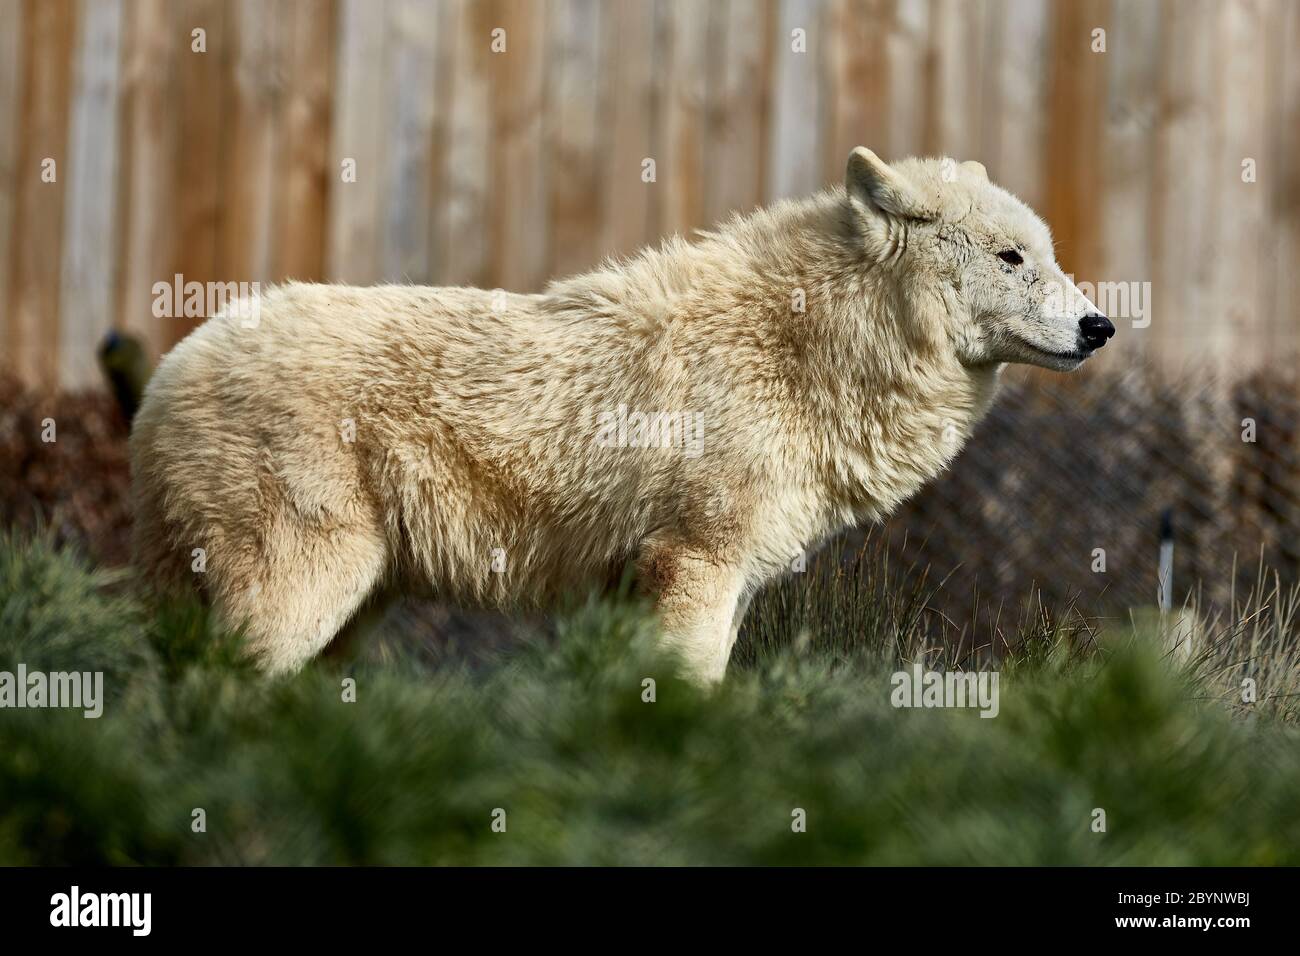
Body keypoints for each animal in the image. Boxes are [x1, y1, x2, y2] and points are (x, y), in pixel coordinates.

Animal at [130, 148, 1114, 682]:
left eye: (1048, 253)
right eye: (1013, 257)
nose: (1099, 325)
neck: (804, 349)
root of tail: (167, 375)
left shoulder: (717, 583)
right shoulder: (693, 563)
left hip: (351, 609)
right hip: (306, 588)